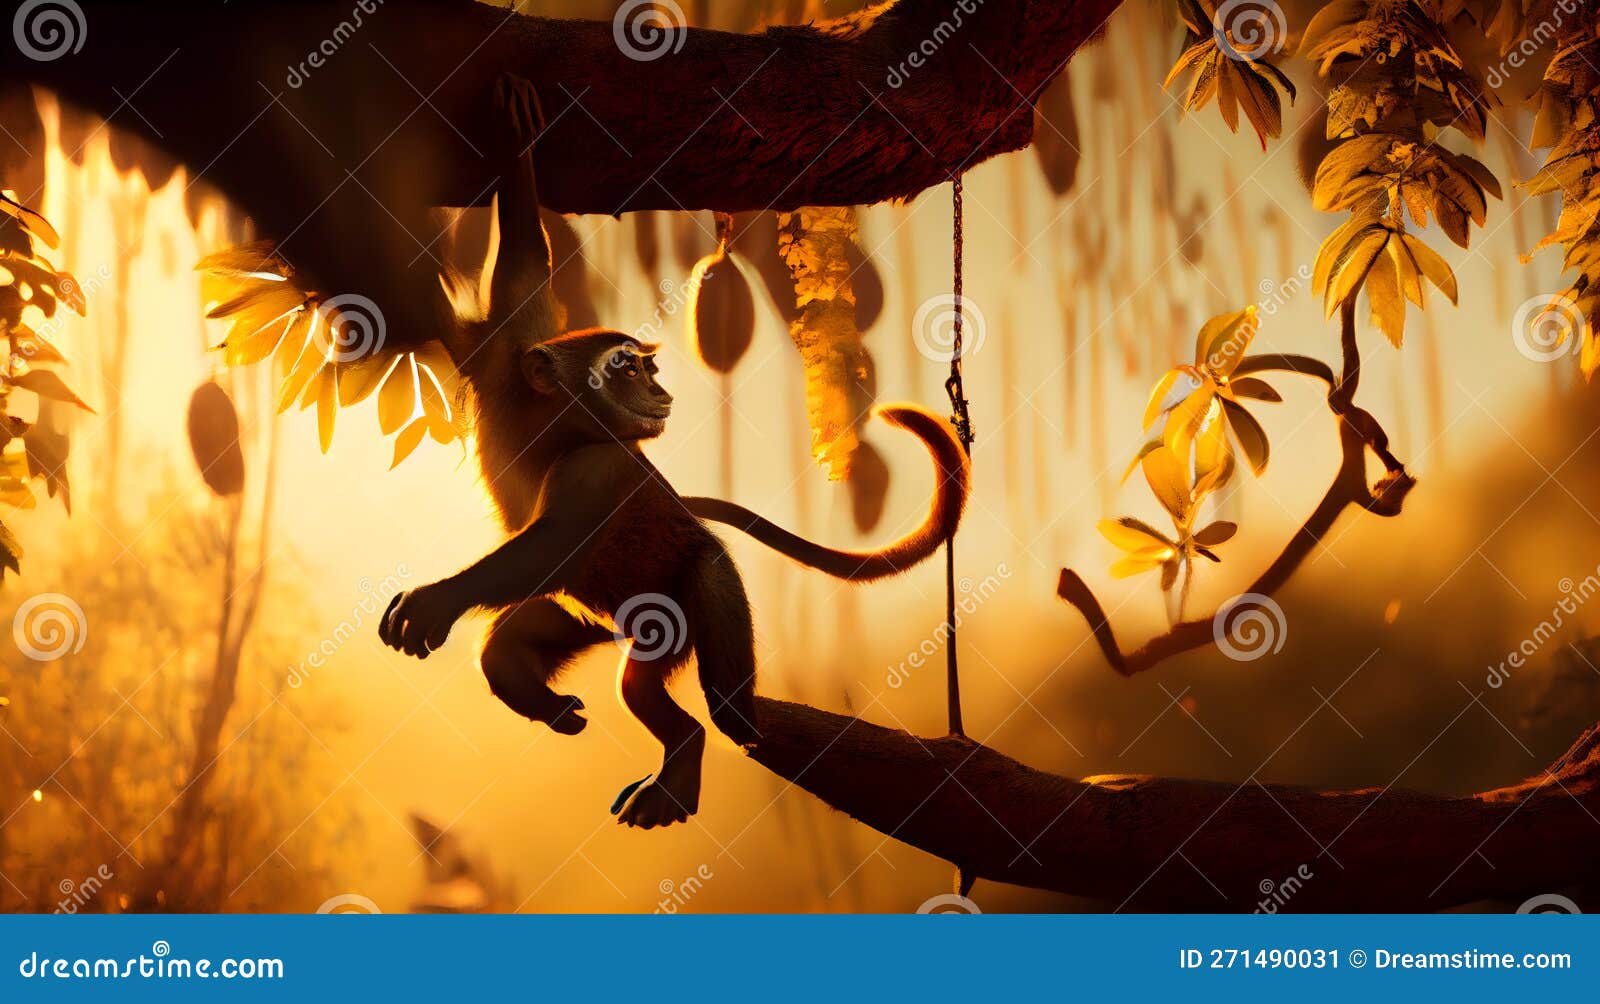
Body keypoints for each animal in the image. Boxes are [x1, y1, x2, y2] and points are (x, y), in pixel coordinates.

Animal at [376, 75, 970, 829]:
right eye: (627, 366)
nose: (660, 388)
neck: (550, 426)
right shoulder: (503, 354)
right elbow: (523, 264)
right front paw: (516, 144)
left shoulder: (596, 466)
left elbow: (546, 545)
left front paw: (435, 602)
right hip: (591, 618)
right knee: (518, 646)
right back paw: (553, 703)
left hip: (696, 593)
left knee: (682, 691)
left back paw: (700, 746)